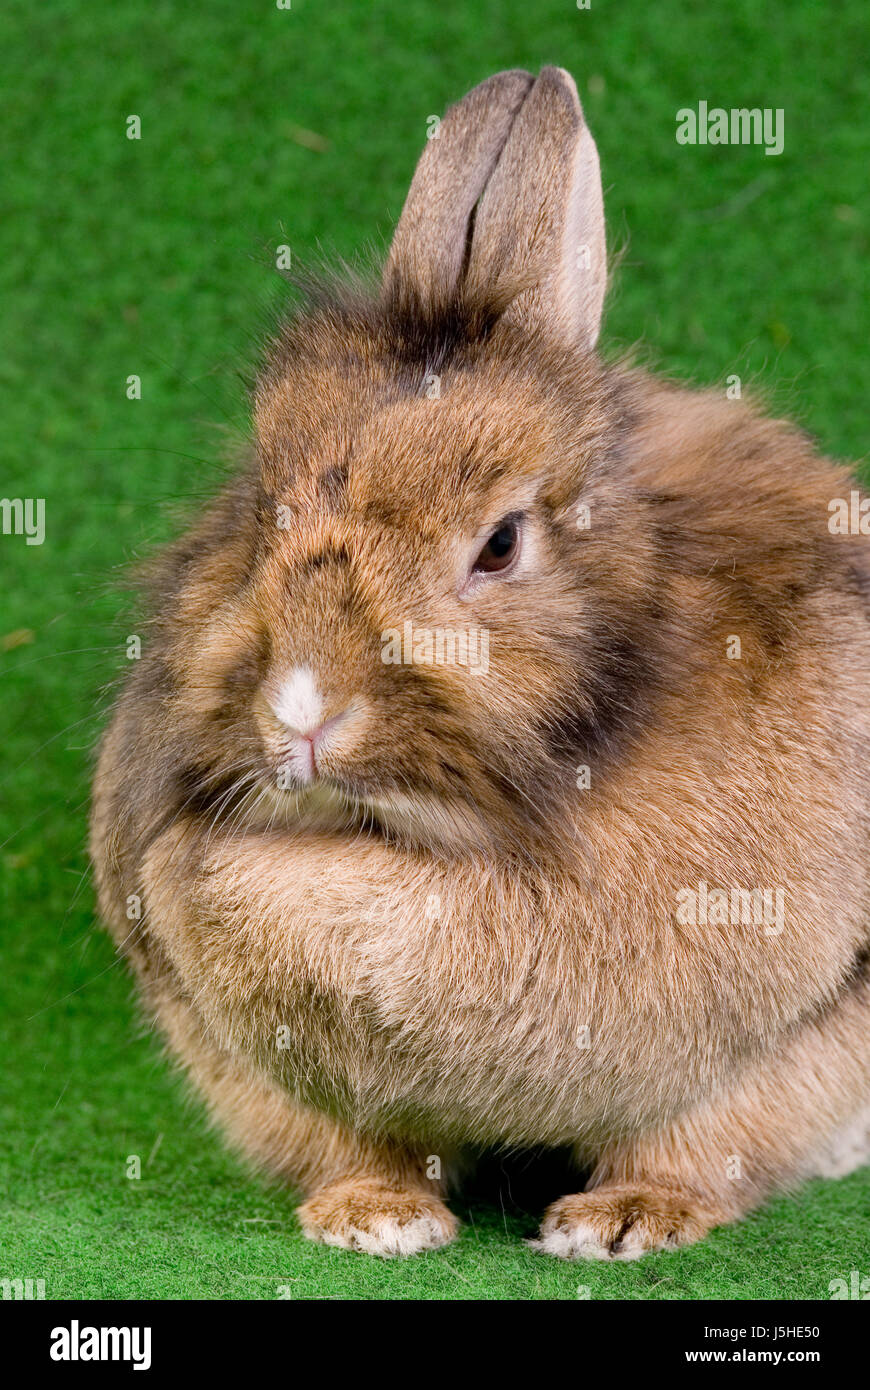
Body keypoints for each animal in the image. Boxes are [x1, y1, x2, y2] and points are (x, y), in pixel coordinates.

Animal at [90, 66, 870, 1261]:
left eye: (500, 543)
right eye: (261, 507)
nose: (303, 711)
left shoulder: (773, 1053)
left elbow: (695, 1148)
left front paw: (621, 1223)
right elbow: (365, 1145)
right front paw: (374, 1219)